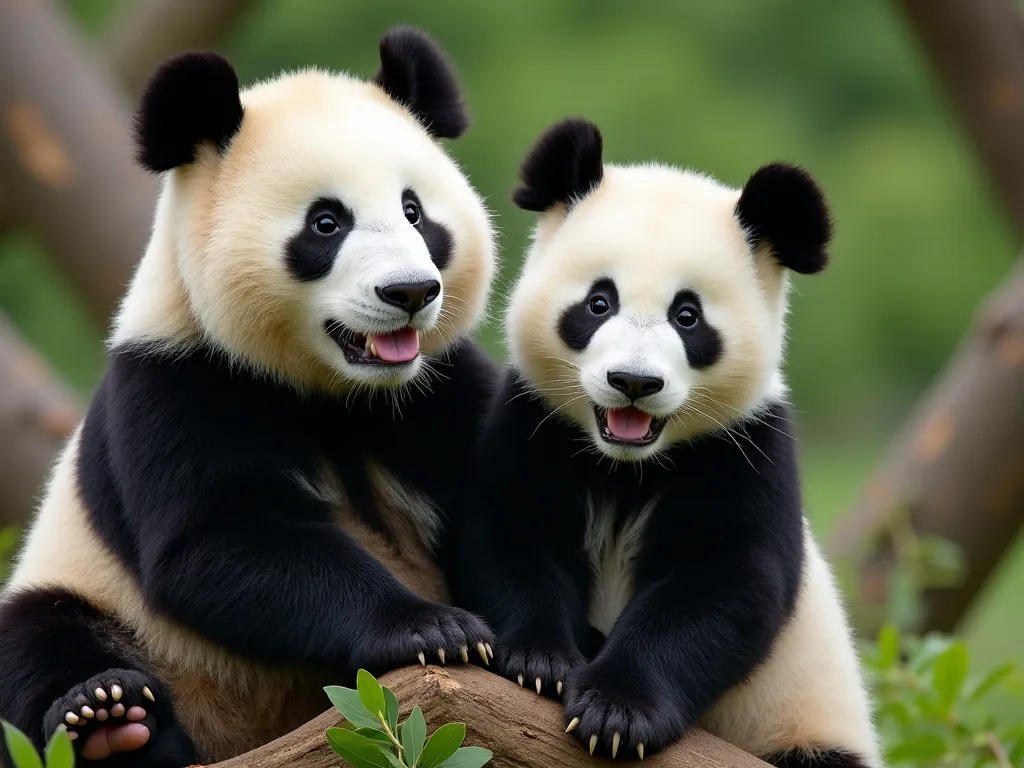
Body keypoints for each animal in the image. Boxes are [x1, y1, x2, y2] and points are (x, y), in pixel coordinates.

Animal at [0, 27, 498, 767]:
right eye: (326, 223)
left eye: (416, 212)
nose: (410, 292)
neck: (340, 393)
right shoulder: (180, 380)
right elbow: (220, 541)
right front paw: (430, 628)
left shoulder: (440, 392)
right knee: (35, 637)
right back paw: (109, 721)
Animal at [456, 118, 881, 767]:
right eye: (598, 303)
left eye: (688, 316)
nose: (633, 382)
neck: (625, 467)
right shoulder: (534, 424)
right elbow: (509, 537)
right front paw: (540, 661)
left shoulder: (744, 451)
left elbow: (718, 588)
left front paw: (617, 713)